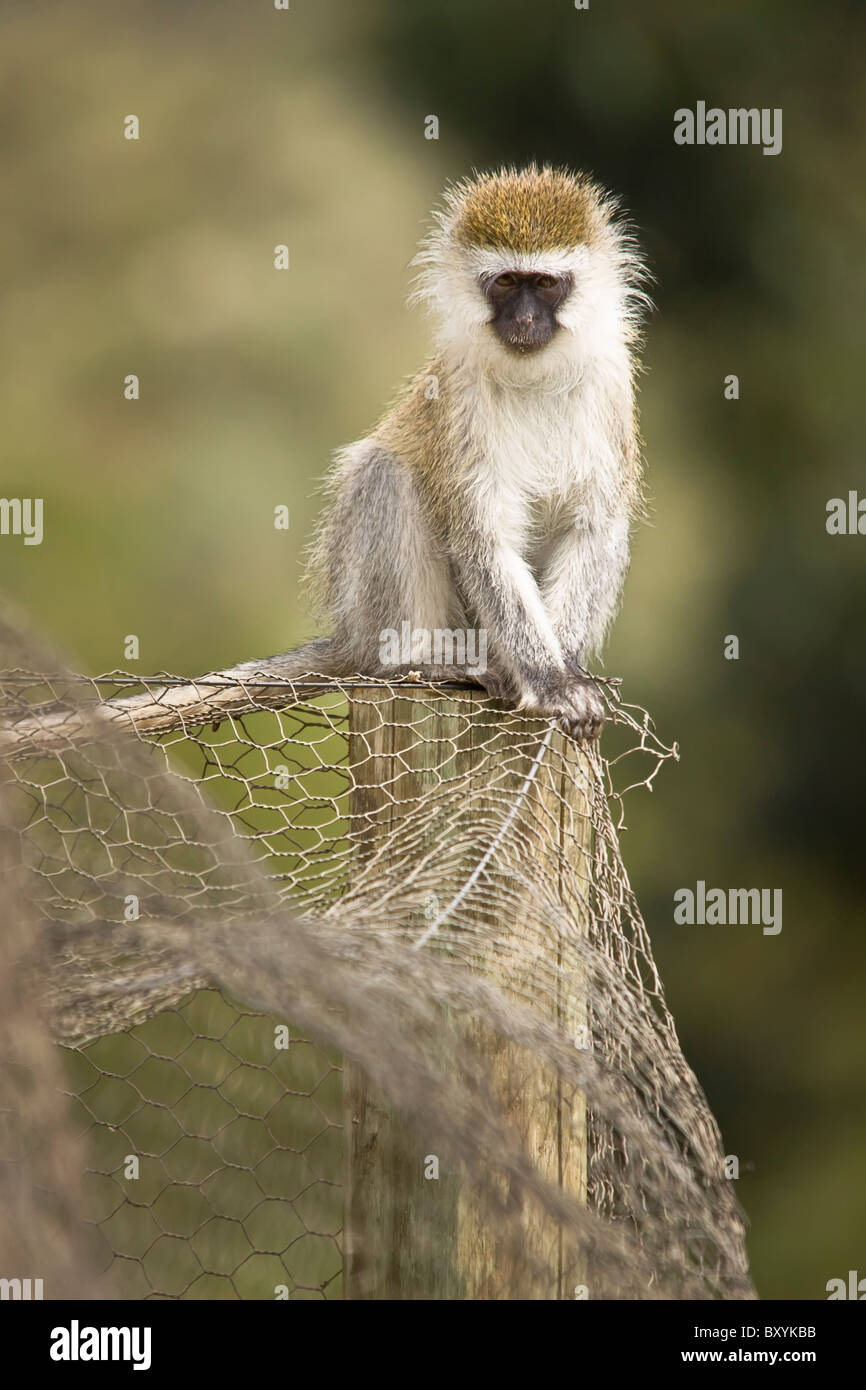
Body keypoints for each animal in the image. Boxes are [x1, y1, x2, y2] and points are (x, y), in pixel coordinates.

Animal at [260, 164, 649, 740]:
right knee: (384, 474)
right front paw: (552, 684)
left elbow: (593, 525)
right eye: (506, 282)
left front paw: (567, 671)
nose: (525, 320)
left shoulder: (611, 385)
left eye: (545, 283)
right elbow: (484, 539)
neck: (534, 375)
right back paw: (419, 661)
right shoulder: (461, 396)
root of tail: (351, 638)